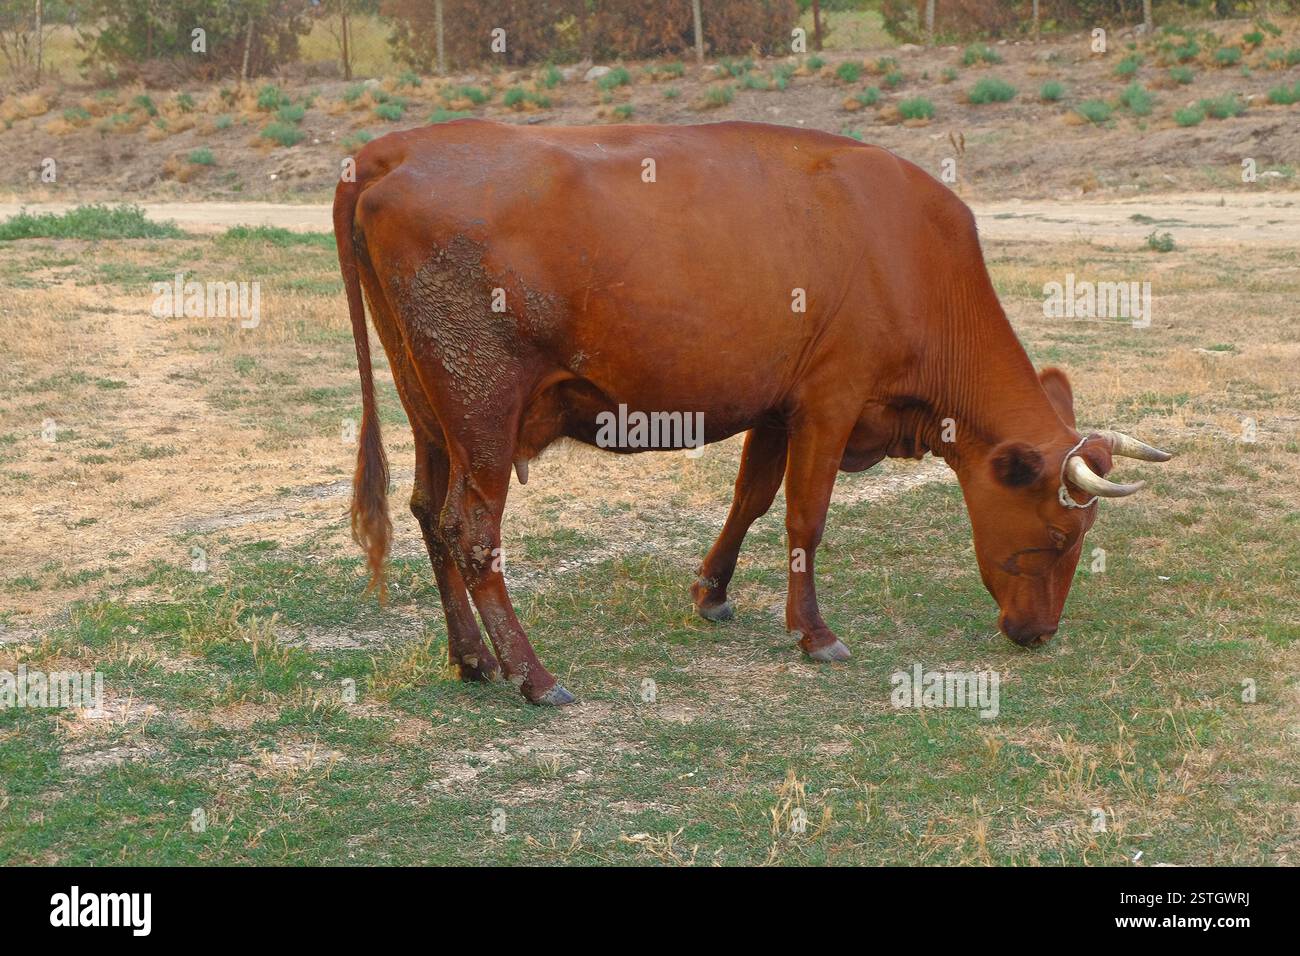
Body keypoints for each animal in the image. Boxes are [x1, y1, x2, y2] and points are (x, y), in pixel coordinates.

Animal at [334, 119, 1171, 706]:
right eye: (1061, 536)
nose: (1038, 634)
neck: (911, 255)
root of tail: (388, 151)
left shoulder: (778, 404)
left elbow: (751, 499)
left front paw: (712, 593)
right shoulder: (832, 399)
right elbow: (806, 517)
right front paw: (815, 633)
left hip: (429, 406)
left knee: (427, 512)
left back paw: (472, 658)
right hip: (483, 406)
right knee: (472, 531)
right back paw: (533, 675)